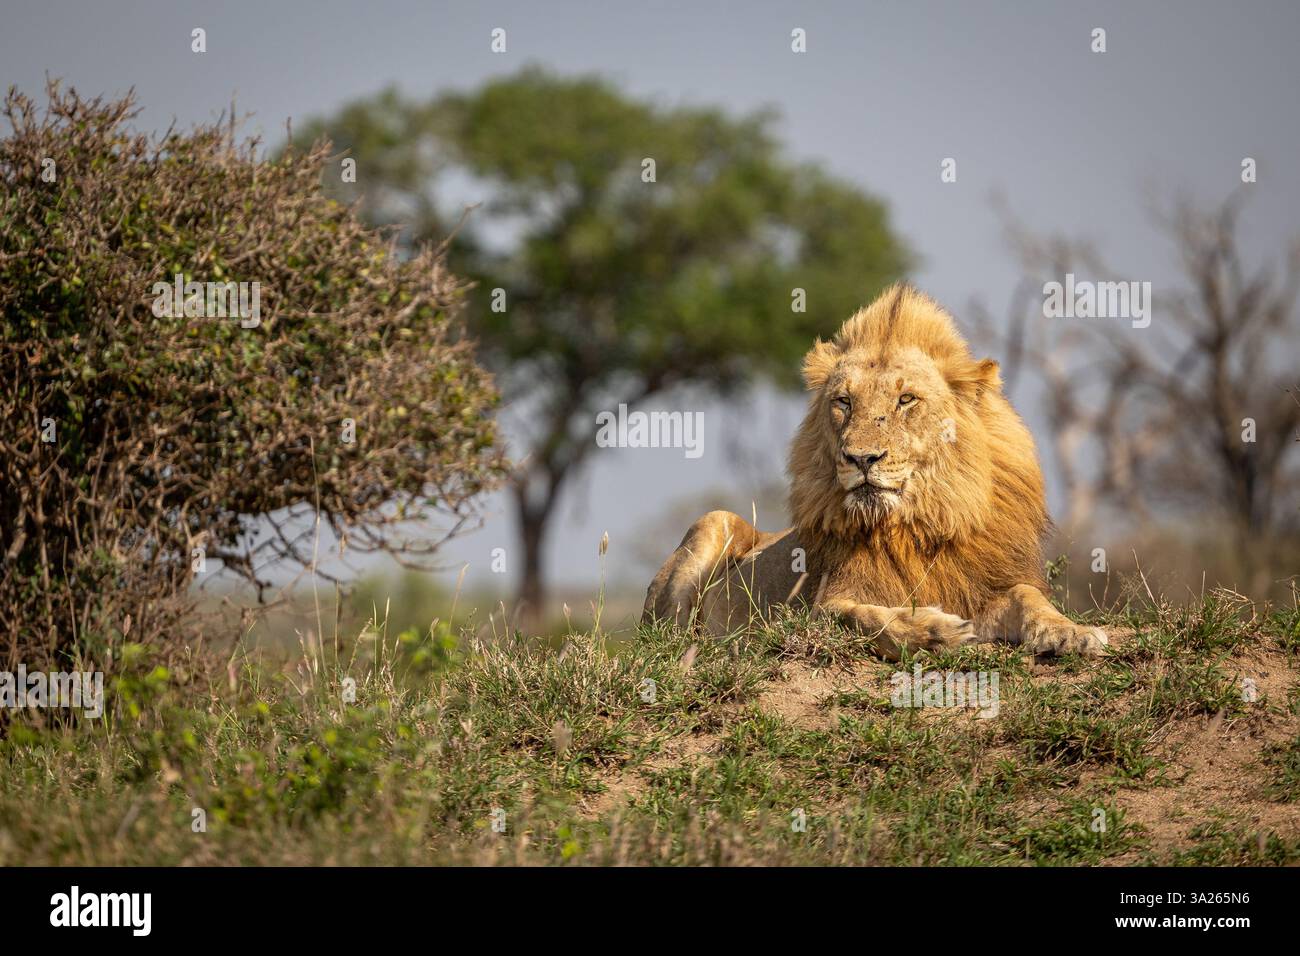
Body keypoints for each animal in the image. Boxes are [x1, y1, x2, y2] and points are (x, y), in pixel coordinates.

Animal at [642, 284, 1110, 661]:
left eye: (906, 400)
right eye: (844, 402)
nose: (861, 458)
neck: (916, 524)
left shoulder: (987, 584)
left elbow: (1030, 599)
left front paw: (1073, 633)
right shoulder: (822, 605)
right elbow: (864, 618)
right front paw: (933, 632)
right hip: (712, 524)